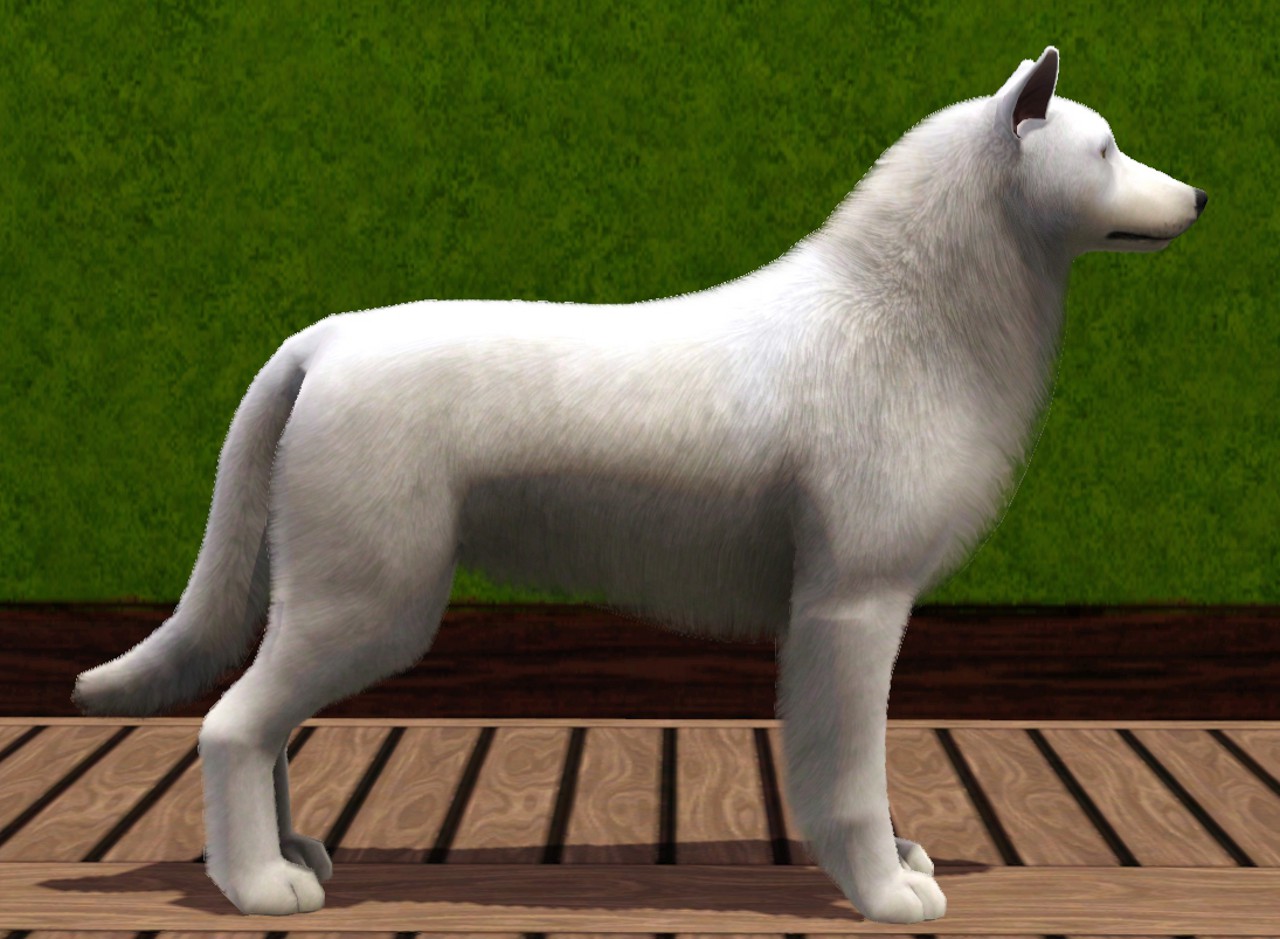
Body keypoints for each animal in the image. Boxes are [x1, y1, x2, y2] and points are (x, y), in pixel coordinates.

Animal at [74, 46, 1205, 922]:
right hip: (371, 602)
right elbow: (849, 775)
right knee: (232, 726)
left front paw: (893, 863)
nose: (1198, 197)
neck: (908, 319)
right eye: (1106, 150)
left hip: (338, 602)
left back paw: (291, 852)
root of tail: (323, 340)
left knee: (264, 727)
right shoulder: (853, 608)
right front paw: (884, 894)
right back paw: (260, 885)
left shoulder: (837, 615)